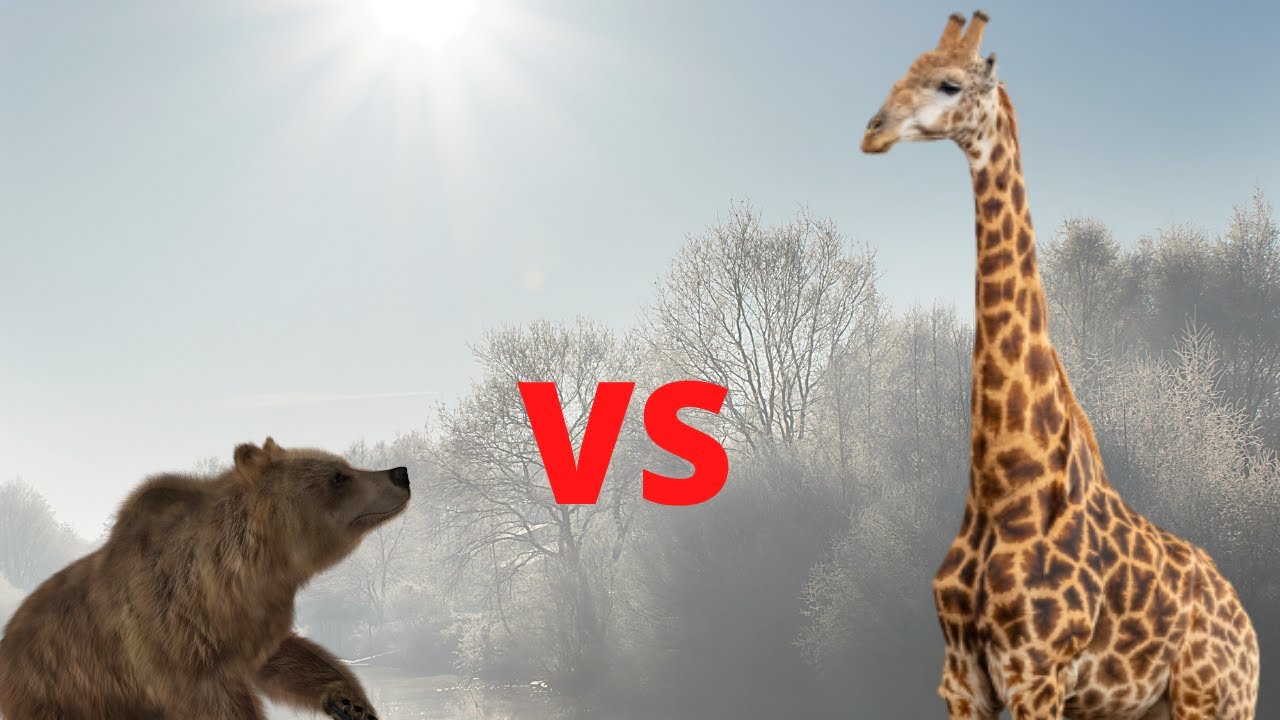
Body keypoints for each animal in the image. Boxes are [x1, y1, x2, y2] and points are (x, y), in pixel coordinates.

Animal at [0, 438, 410, 720]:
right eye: (339, 476)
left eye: (343, 465)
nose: (400, 473)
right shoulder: (173, 635)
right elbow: (214, 700)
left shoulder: (251, 619)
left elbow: (285, 656)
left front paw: (350, 701)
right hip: (57, 690)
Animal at [860, 11, 1259, 720]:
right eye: (902, 70)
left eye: (949, 83)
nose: (872, 131)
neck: (1003, 483)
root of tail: (1253, 633)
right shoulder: (962, 681)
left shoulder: (1037, 674)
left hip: (1215, 700)